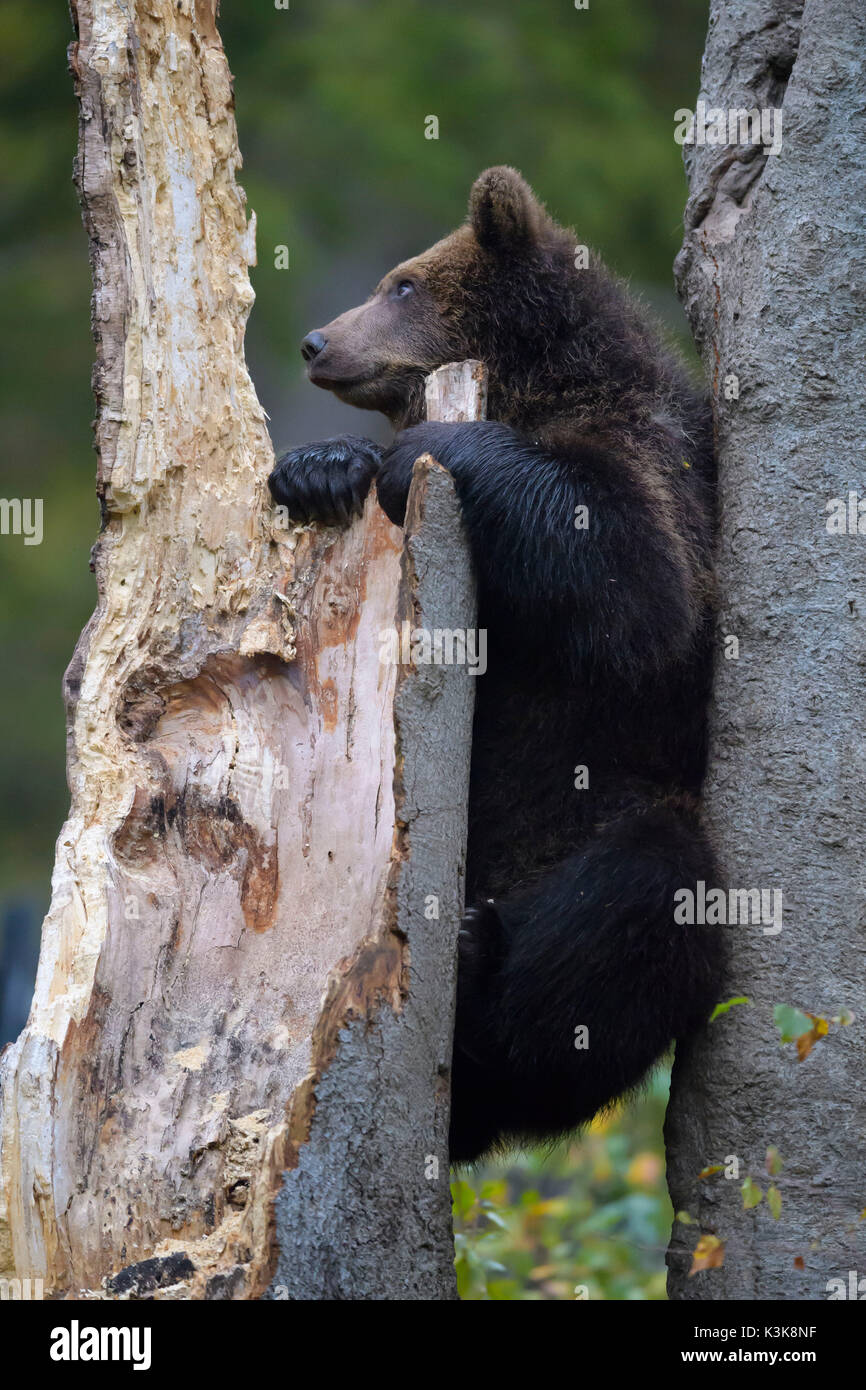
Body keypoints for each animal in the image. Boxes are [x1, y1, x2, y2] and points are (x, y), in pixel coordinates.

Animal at [269, 166, 724, 1164]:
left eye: (403, 283)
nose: (317, 341)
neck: (532, 383)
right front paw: (318, 467)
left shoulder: (658, 470)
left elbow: (634, 584)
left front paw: (426, 452)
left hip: (602, 819)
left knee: (645, 896)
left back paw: (484, 983)